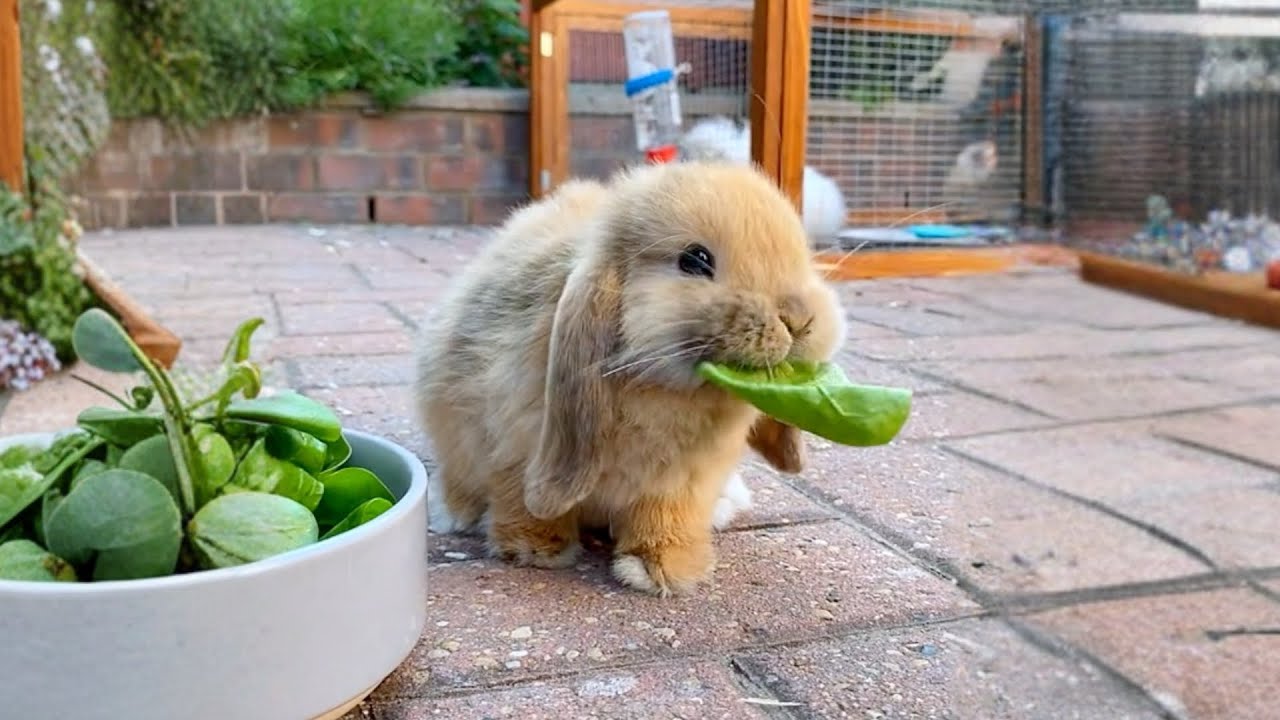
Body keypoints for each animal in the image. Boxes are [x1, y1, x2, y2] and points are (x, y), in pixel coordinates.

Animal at [414, 161, 845, 596]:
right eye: (695, 259)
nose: (800, 320)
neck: (659, 388)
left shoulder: (679, 483)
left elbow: (665, 518)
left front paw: (662, 569)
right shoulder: (512, 441)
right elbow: (519, 496)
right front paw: (534, 548)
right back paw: (455, 512)